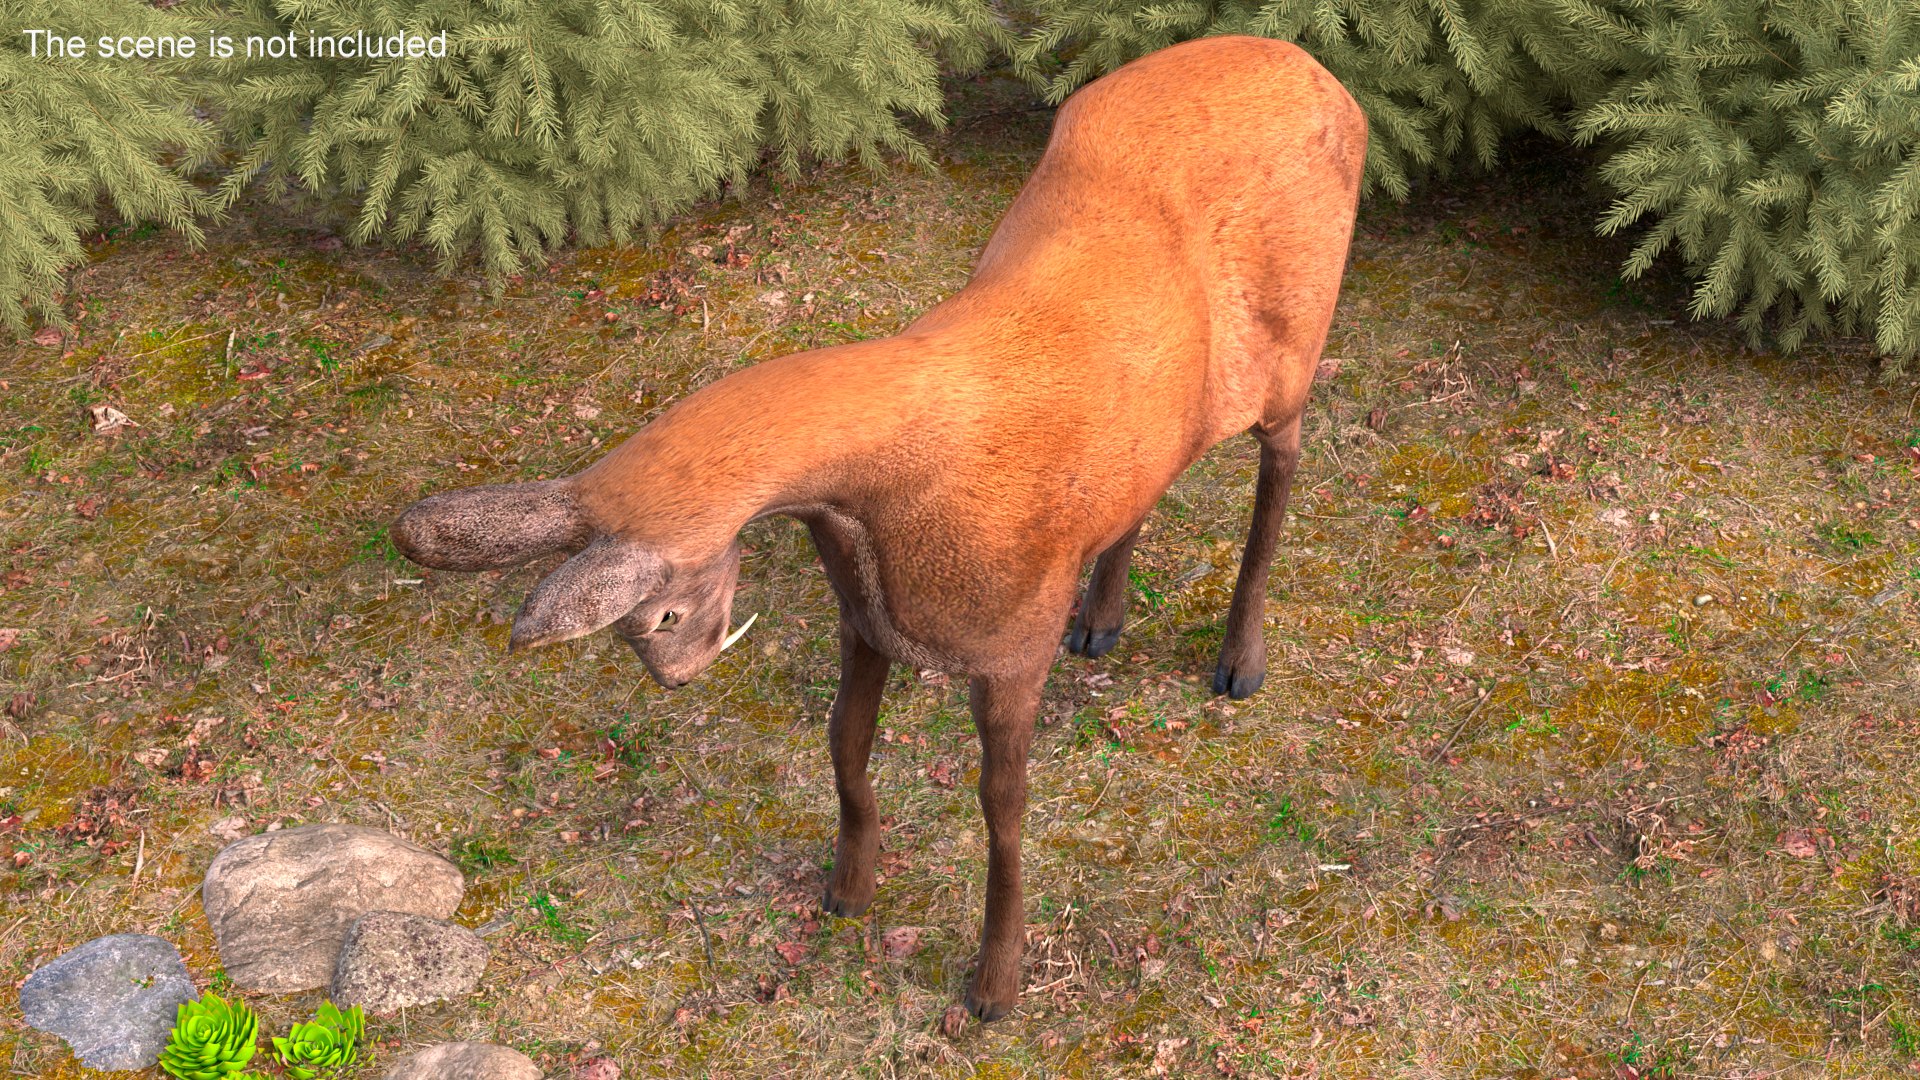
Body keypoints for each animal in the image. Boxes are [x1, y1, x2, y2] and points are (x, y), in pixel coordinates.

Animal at [389, 35, 1366, 1022]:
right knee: (1144, 482)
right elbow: (844, 743)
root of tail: (1318, 73)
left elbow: (1004, 810)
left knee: (1280, 476)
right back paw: (1101, 618)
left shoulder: (1011, 651)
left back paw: (1239, 659)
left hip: (1296, 349)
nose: (675, 678)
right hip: (1159, 417)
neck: (902, 482)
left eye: (659, 616)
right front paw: (848, 890)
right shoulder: (865, 616)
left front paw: (995, 985)